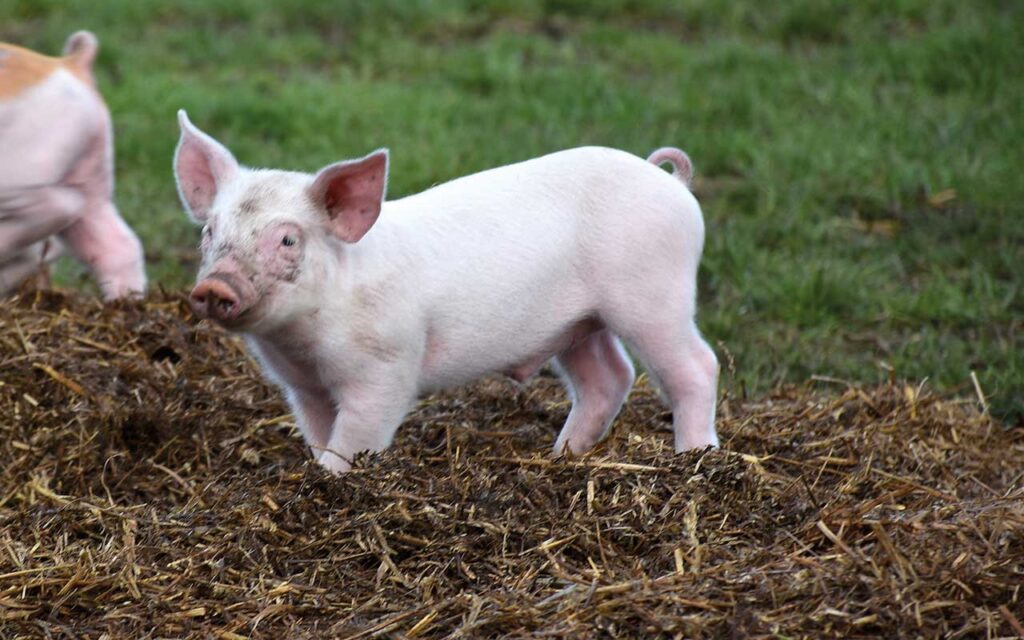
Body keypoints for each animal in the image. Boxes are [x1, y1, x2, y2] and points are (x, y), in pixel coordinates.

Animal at [174, 110, 719, 473]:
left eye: (288, 239)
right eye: (210, 232)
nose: (216, 284)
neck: (301, 342)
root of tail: (671, 182)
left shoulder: (386, 366)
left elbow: (353, 440)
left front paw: (331, 481)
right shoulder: (302, 387)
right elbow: (319, 435)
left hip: (655, 295)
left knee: (696, 365)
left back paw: (695, 456)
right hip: (580, 323)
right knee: (609, 378)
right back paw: (561, 456)